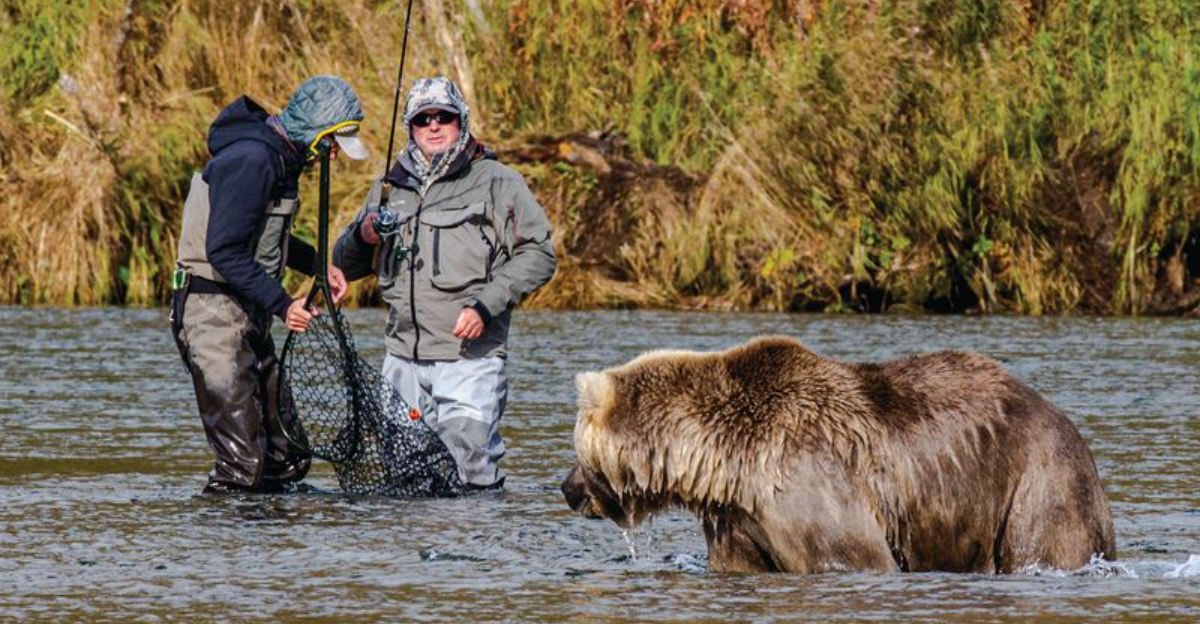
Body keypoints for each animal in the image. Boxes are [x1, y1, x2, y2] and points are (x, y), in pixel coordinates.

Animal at [561, 336, 1116, 574]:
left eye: (578, 450)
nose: (568, 489)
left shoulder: (805, 482)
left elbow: (854, 555)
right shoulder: (739, 519)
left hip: (1033, 480)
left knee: (1042, 545)